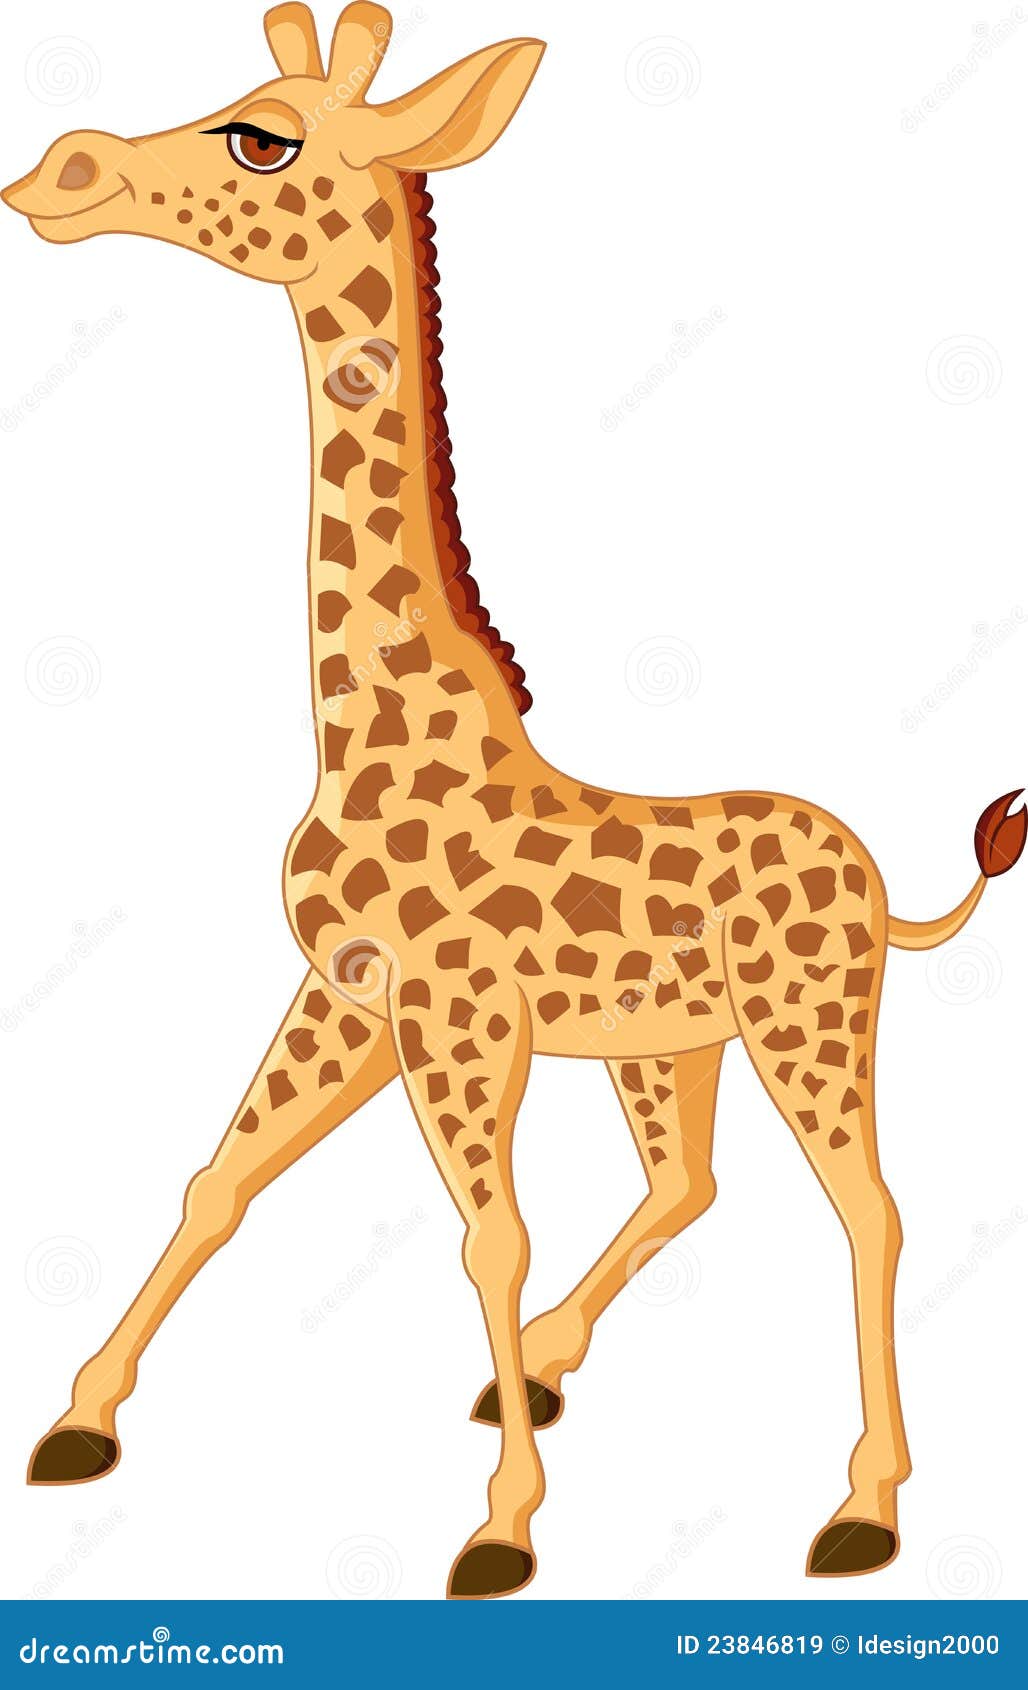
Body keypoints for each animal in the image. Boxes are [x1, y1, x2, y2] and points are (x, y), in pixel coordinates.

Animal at [4, 4, 1025, 1601]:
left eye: (262, 137)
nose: (57, 171)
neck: (368, 740)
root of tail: (871, 875)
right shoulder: (349, 994)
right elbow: (216, 1182)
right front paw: (76, 1423)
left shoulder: (456, 1013)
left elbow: (490, 1237)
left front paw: (500, 1528)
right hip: (667, 1045)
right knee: (690, 1186)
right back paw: (537, 1371)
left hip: (807, 1017)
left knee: (870, 1209)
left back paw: (862, 1507)